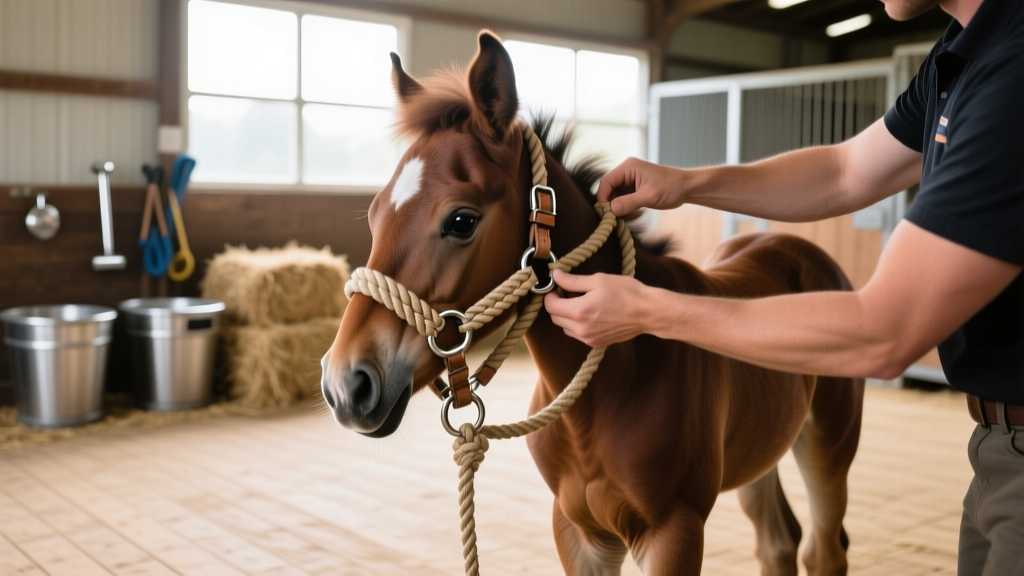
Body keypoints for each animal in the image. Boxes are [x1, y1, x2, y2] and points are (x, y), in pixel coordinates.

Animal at [321, 30, 864, 576]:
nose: (346, 385)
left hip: (829, 444)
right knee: (778, 541)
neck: (613, 388)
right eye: (375, 214)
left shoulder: (674, 533)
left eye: (461, 220)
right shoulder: (577, 531)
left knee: (822, 549)